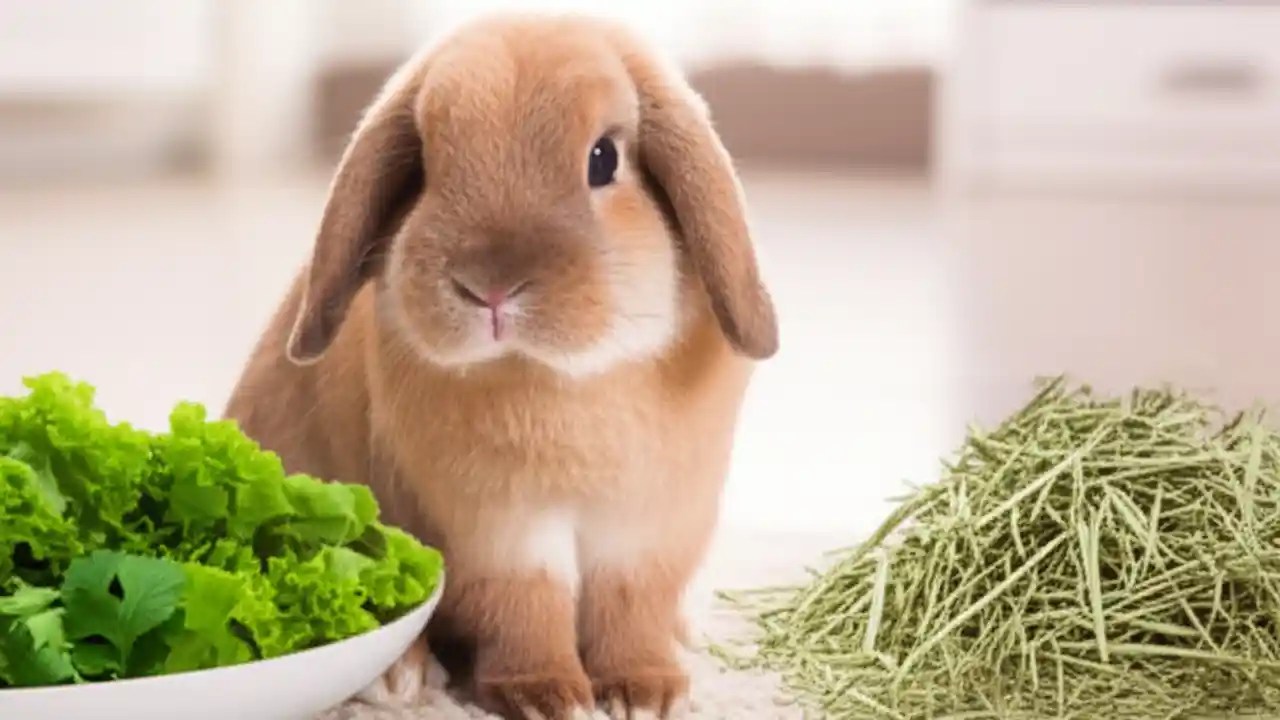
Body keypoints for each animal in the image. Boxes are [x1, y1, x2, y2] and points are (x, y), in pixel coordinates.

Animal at [223, 12, 777, 720]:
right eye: (425, 163)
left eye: (604, 158)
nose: (488, 287)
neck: (562, 379)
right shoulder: (498, 533)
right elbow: (524, 610)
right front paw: (548, 697)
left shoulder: (649, 529)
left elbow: (632, 609)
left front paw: (645, 691)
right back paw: (399, 675)